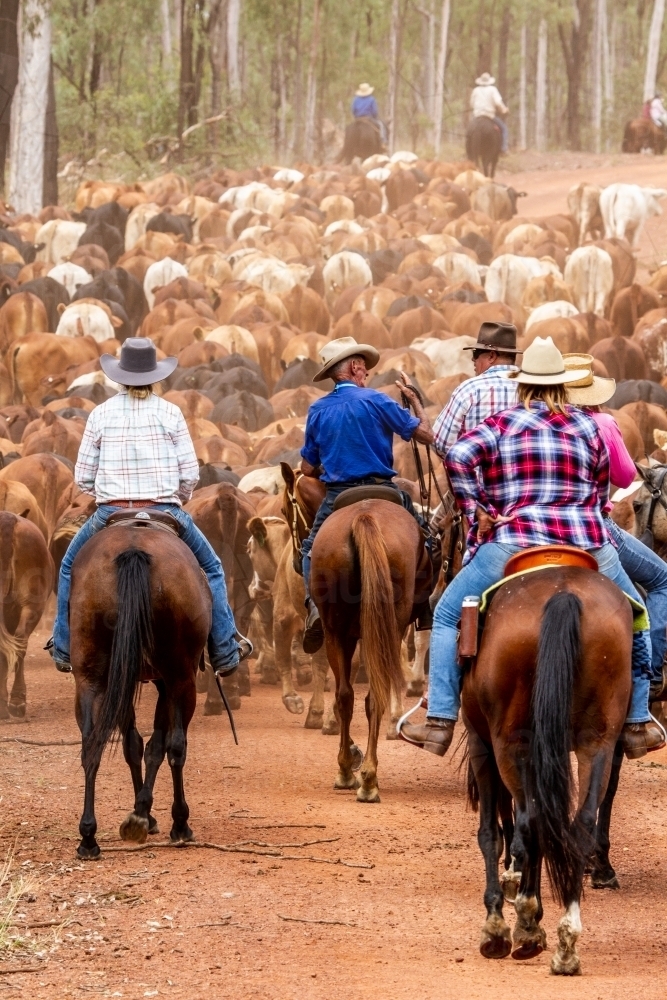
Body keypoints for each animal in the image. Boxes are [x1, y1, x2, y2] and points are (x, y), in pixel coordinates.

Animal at [70, 519, 211, 859]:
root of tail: (133, 549)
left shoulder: (127, 678)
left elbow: (134, 744)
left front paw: (142, 813)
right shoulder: (169, 682)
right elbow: (158, 746)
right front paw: (146, 814)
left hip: (91, 677)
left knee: (91, 745)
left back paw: (88, 837)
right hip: (181, 677)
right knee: (176, 745)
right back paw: (179, 824)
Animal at [311, 498, 431, 802]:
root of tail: (364, 516)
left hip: (337, 631)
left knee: (347, 695)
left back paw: (353, 773)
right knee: (373, 694)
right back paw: (366, 777)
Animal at [463, 567, 632, 974]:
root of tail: (564, 592)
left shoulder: (481, 742)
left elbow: (491, 833)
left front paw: (498, 926)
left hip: (511, 742)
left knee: (529, 822)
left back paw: (525, 923)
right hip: (597, 737)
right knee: (579, 822)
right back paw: (567, 940)